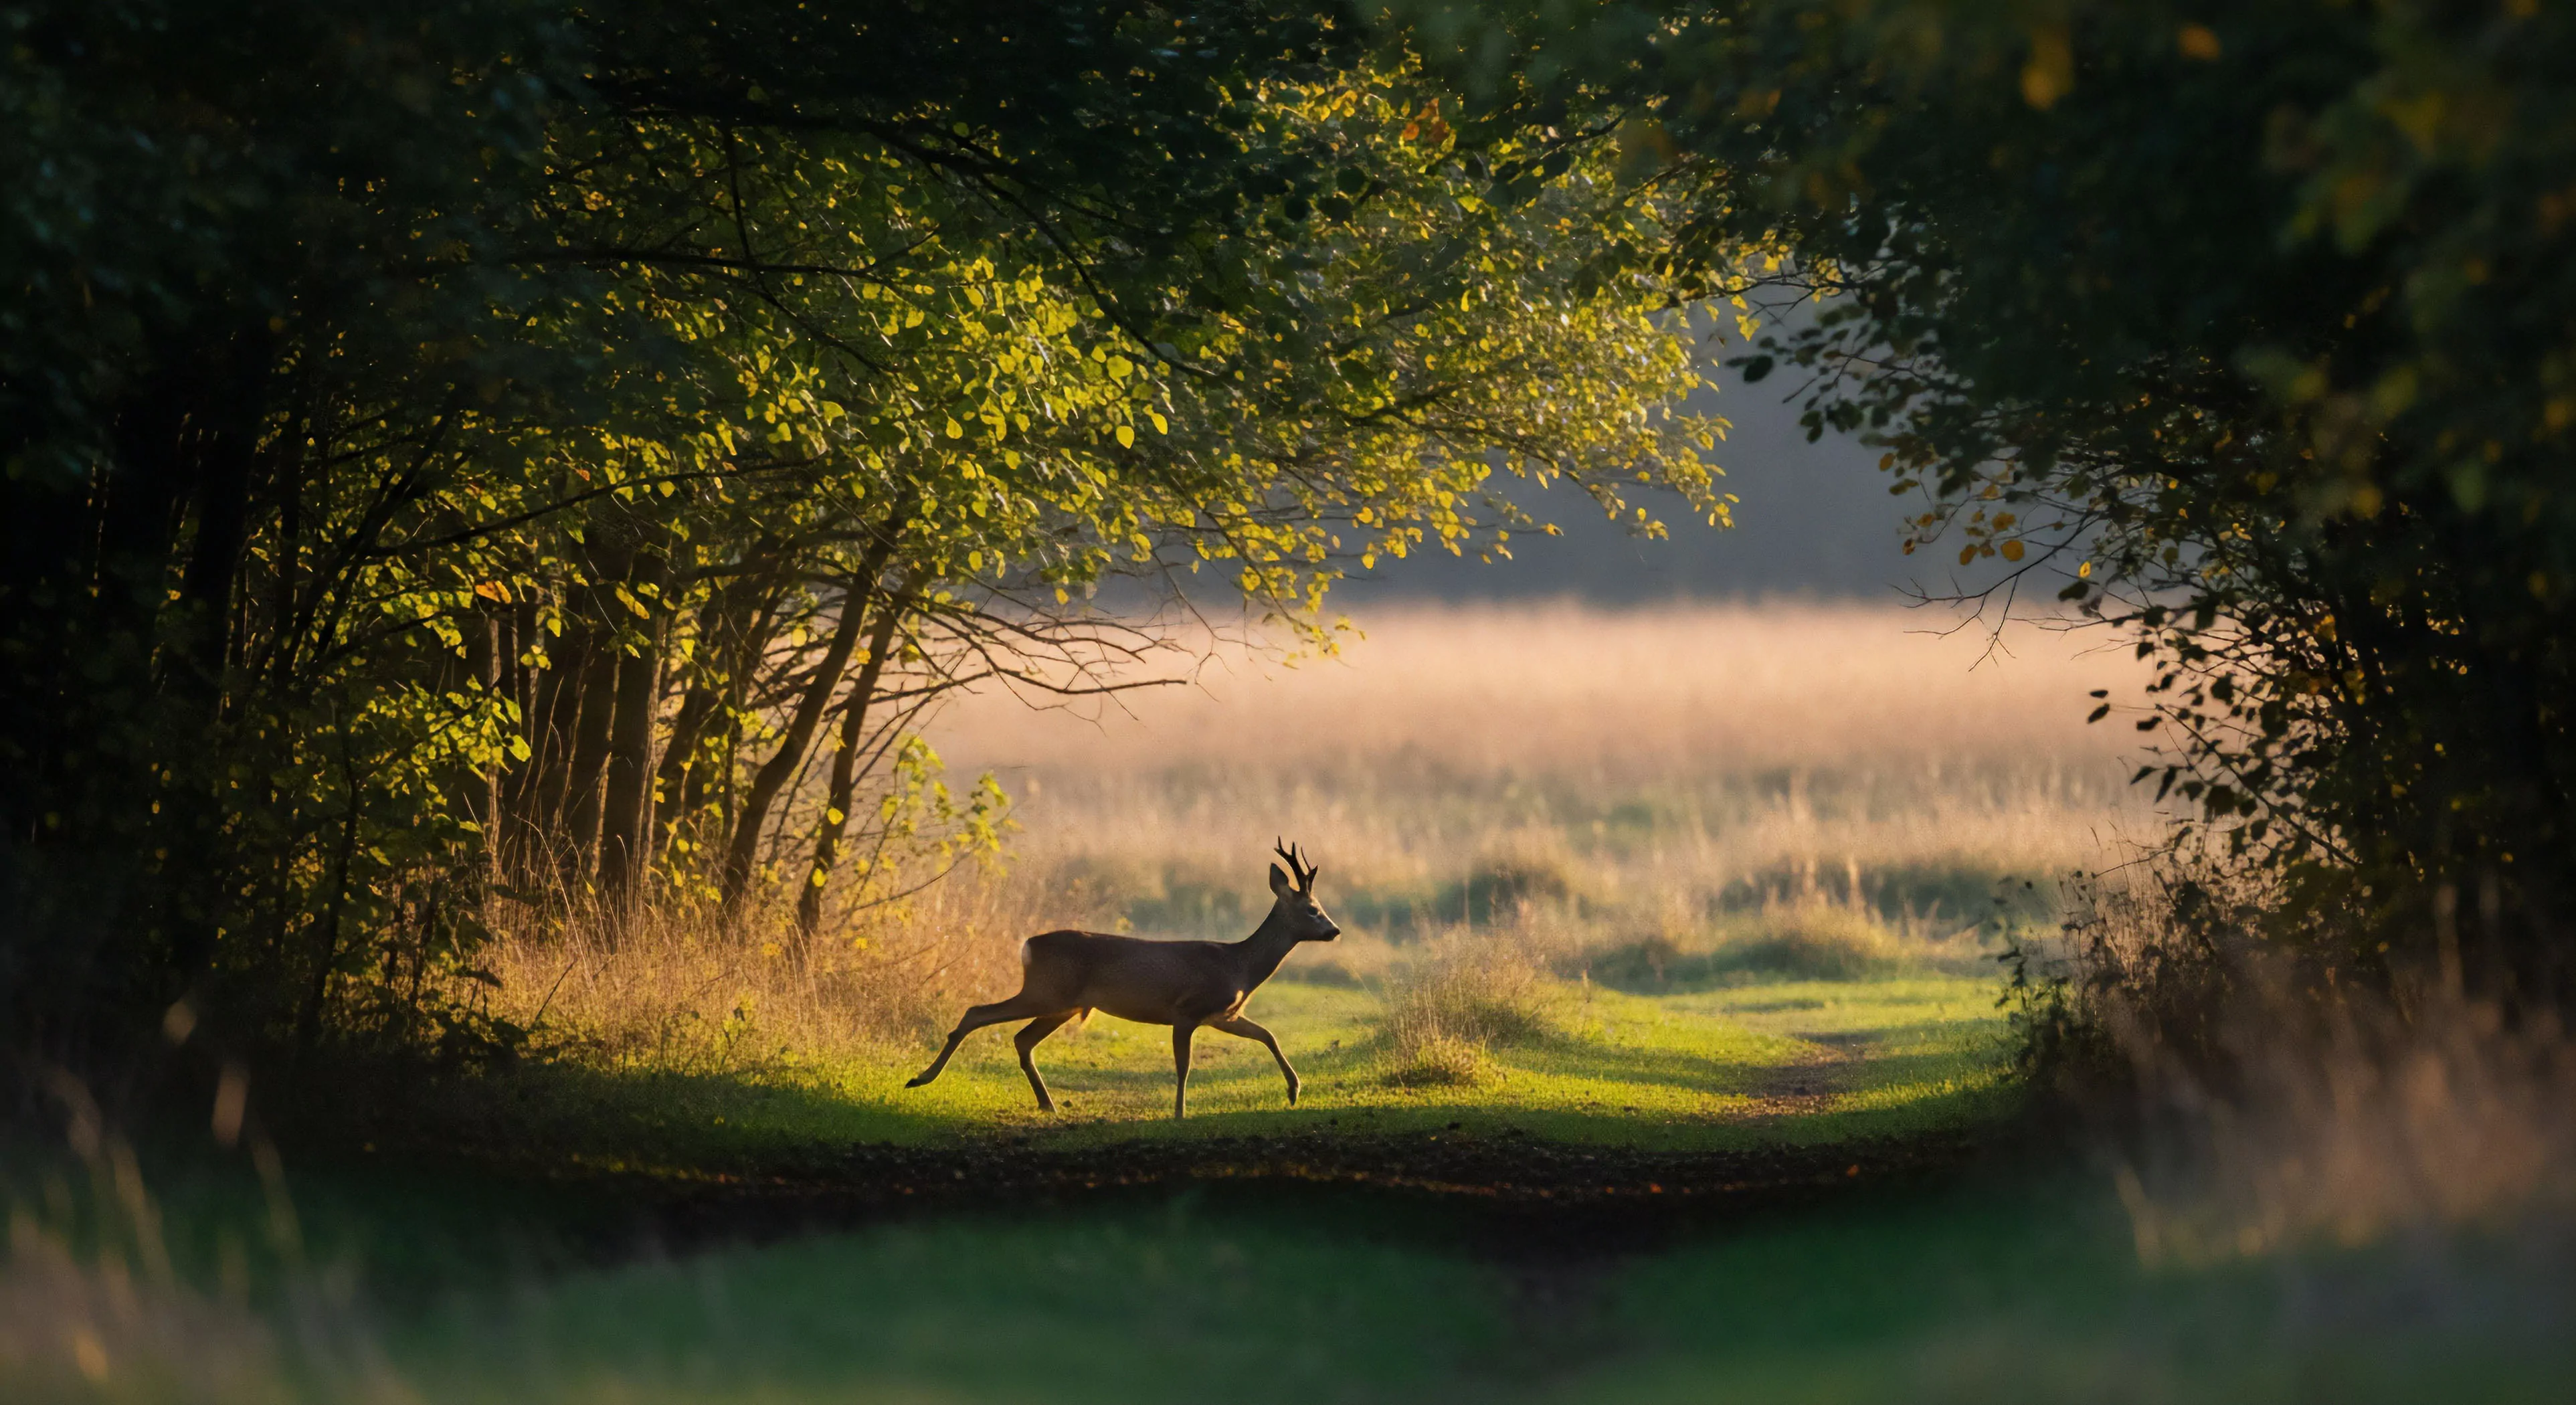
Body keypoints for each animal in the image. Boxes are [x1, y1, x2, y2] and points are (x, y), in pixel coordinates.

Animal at [905, 841, 1341, 1119]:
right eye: (1313, 909)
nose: (1334, 931)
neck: (1239, 965)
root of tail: (1027, 945)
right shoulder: (1187, 1010)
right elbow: (1184, 1066)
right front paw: (1180, 1113)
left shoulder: (1222, 1015)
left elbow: (1268, 1035)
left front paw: (1294, 1091)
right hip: (1045, 991)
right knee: (977, 1012)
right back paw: (921, 1078)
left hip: (1061, 1004)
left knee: (1021, 1039)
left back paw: (1048, 1104)